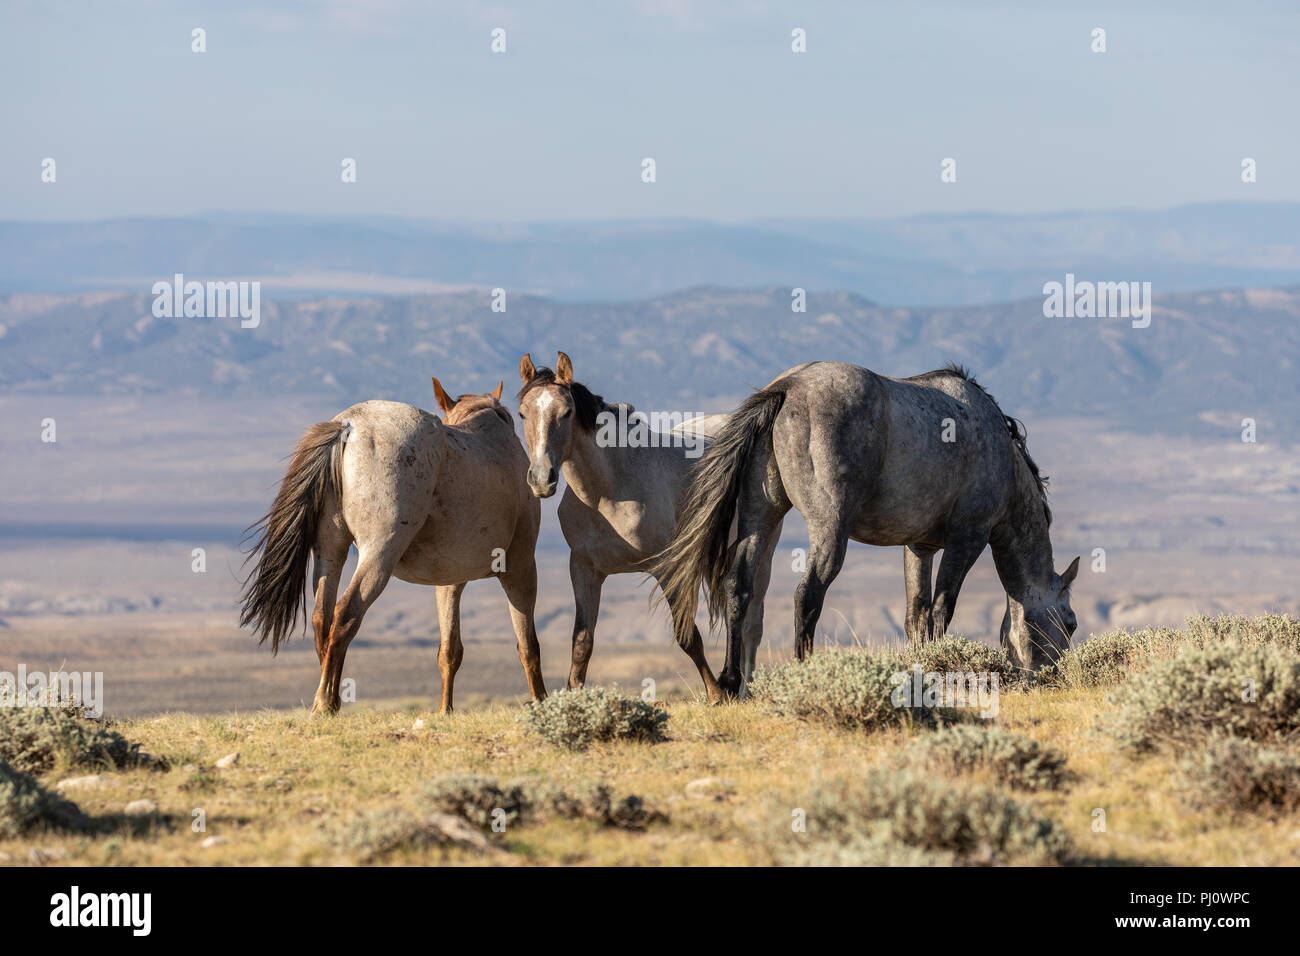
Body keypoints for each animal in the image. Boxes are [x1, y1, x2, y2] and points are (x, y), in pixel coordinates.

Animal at [239, 380, 546, 715]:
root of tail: (348, 424)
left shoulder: (449, 580)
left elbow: (450, 650)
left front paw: (445, 710)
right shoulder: (520, 568)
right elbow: (528, 645)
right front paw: (541, 700)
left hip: (329, 551)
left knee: (323, 618)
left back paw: (332, 699)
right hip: (379, 554)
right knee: (346, 613)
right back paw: (324, 702)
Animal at [515, 351, 780, 704]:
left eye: (567, 412)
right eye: (522, 413)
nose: (542, 479)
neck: (607, 489)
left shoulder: (666, 568)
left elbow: (687, 636)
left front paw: (715, 694)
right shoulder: (584, 568)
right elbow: (582, 642)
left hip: (761, 548)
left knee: (751, 622)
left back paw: (742, 688)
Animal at [651, 361, 1079, 697]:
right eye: (1071, 623)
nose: (1055, 678)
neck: (998, 451)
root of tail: (786, 388)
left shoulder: (919, 547)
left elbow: (916, 614)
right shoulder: (968, 538)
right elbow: (942, 609)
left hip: (761, 516)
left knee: (738, 588)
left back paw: (730, 681)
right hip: (829, 529)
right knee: (807, 595)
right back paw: (805, 676)